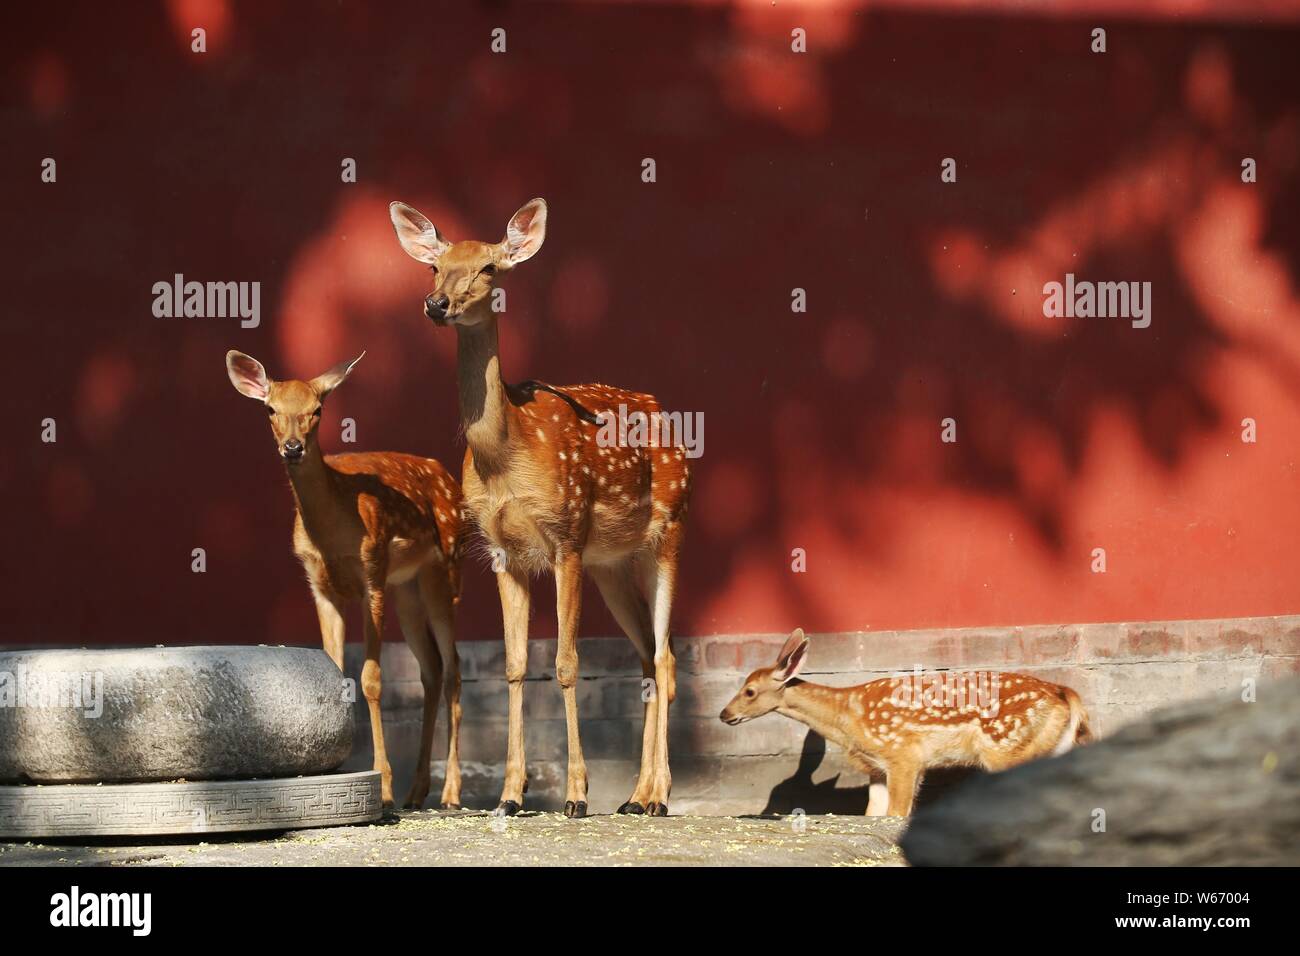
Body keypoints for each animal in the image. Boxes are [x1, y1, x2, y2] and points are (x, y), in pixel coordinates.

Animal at [225, 349, 465, 811]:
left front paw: (383, 788)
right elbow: (336, 675)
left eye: (318, 410)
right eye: (270, 410)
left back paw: (450, 792)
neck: (333, 532)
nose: (293, 447)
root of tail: (447, 476)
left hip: (444, 568)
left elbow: (372, 680)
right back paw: (417, 791)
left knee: (454, 667)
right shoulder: (319, 586)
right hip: (406, 587)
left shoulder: (372, 574)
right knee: (431, 667)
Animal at [388, 198, 691, 817]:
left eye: (488, 268)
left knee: (667, 659)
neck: (506, 455)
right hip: (612, 566)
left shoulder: (566, 537)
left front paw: (575, 794)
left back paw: (657, 796)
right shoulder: (503, 551)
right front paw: (510, 794)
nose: (436, 304)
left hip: (670, 528)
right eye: (434, 267)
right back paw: (635, 796)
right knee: (649, 657)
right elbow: (513, 667)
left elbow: (567, 664)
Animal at [720, 629, 1092, 817]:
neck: (848, 716)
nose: (724, 714)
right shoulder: (876, 767)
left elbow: (898, 813)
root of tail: (1065, 693)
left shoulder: (904, 755)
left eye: (749, 691)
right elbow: (874, 813)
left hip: (1007, 749)